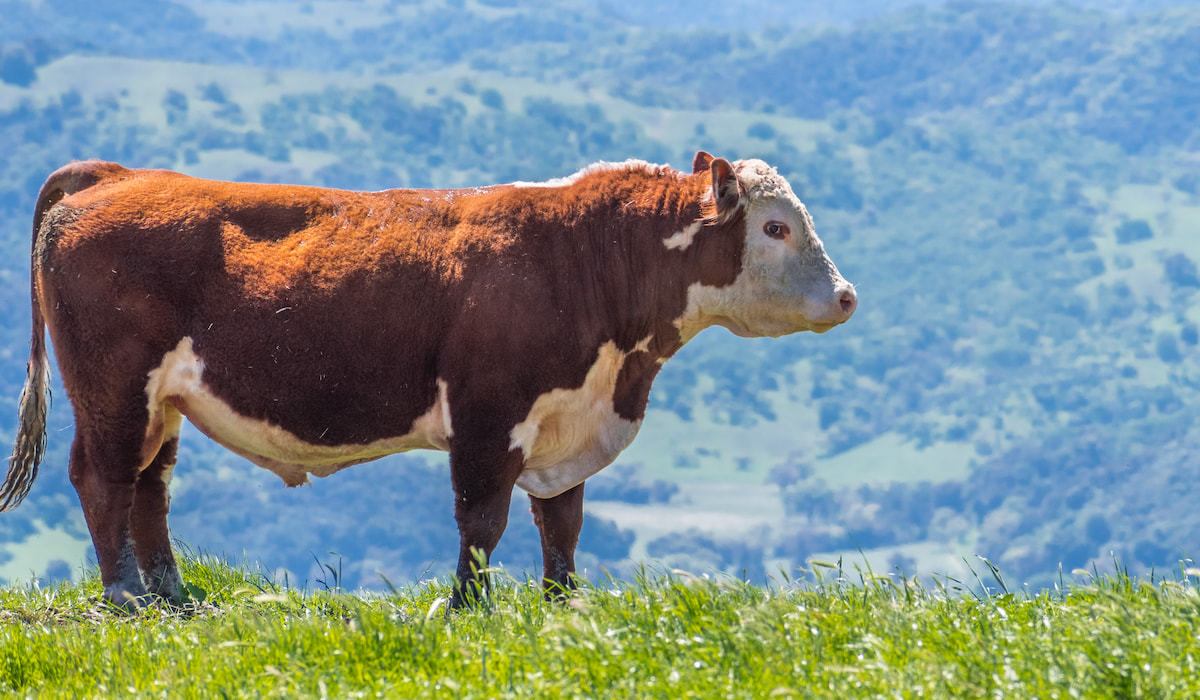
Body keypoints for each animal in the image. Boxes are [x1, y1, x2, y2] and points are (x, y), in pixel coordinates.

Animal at [0, 151, 855, 609]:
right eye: (775, 227)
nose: (847, 296)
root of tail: (117, 174)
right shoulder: (488, 415)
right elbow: (483, 521)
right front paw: (467, 606)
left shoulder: (567, 422)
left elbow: (562, 522)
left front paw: (564, 604)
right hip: (114, 387)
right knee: (103, 478)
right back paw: (125, 595)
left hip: (164, 400)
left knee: (151, 484)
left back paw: (172, 593)